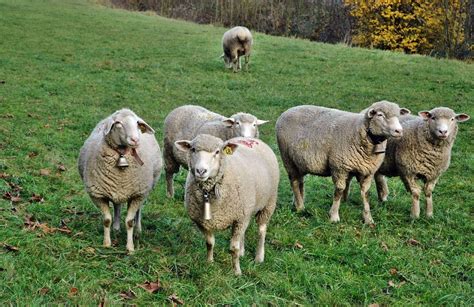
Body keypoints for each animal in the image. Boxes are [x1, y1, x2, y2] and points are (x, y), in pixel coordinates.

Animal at [78, 108, 162, 253]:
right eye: (118, 123)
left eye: (137, 123)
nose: (135, 139)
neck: (122, 155)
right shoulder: (98, 195)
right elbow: (107, 220)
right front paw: (106, 244)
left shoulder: (138, 194)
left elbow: (129, 221)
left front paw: (130, 248)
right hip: (116, 189)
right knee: (117, 206)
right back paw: (116, 229)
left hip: (145, 190)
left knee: (138, 211)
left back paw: (138, 231)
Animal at [175, 135, 280, 276]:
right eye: (193, 149)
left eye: (217, 152)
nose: (201, 171)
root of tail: (250, 138)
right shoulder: (203, 221)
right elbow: (209, 243)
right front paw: (209, 263)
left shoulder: (239, 218)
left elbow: (233, 248)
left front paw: (237, 272)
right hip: (246, 211)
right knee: (243, 232)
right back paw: (242, 253)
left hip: (268, 203)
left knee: (261, 230)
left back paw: (259, 257)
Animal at [276, 102, 410, 225]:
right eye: (380, 115)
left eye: (398, 116)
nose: (399, 131)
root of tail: (287, 111)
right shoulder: (339, 167)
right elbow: (339, 191)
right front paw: (334, 216)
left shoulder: (368, 171)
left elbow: (365, 194)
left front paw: (368, 219)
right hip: (287, 158)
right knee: (294, 182)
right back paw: (300, 207)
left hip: (299, 162)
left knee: (300, 181)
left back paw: (297, 202)